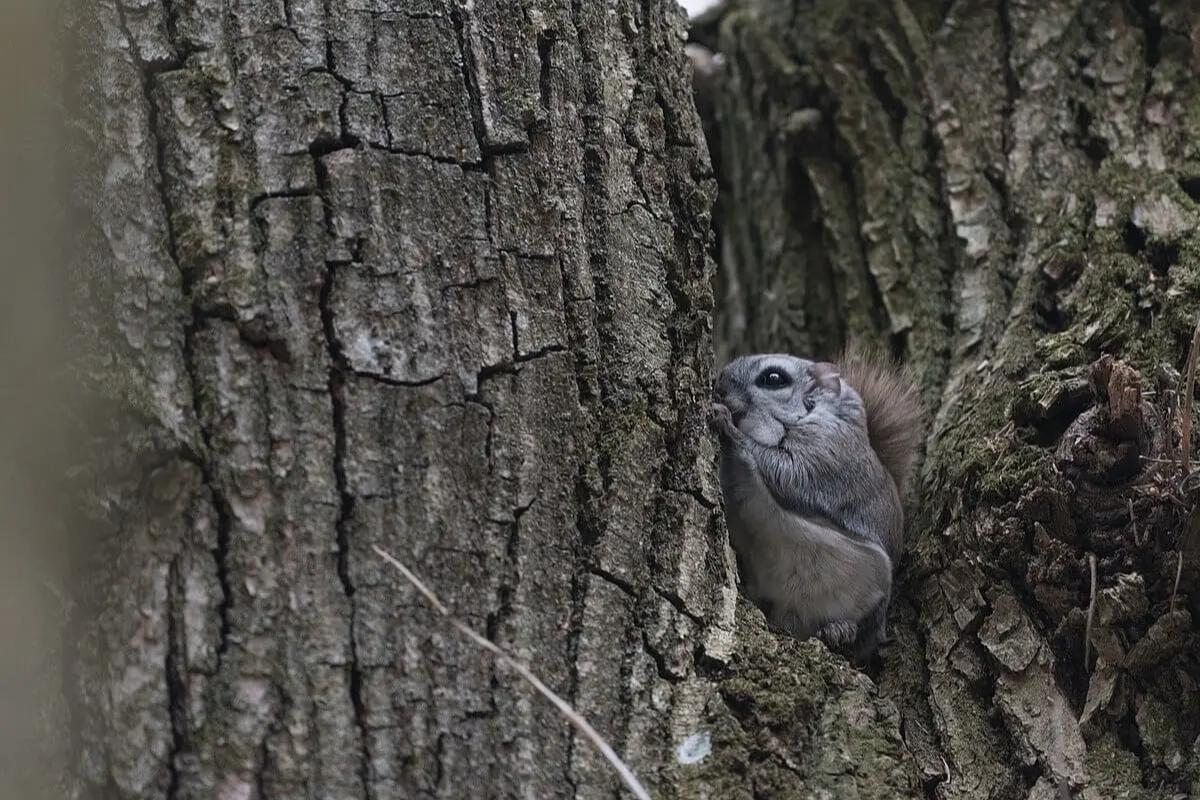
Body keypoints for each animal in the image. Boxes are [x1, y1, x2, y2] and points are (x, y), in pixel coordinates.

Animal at [709, 348, 922, 662]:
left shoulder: (829, 453)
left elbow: (785, 474)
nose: (719, 385)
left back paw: (842, 630)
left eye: (773, 378)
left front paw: (727, 424)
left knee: (866, 632)